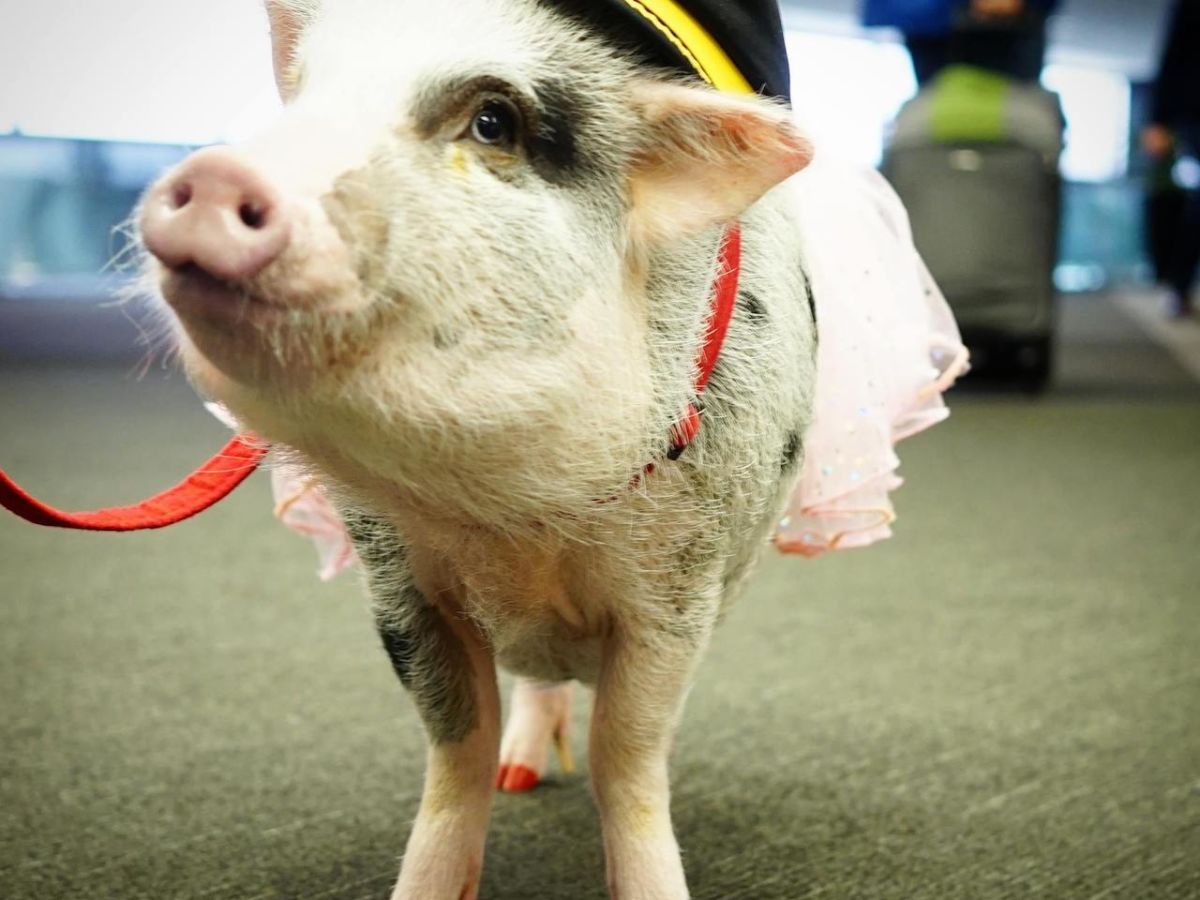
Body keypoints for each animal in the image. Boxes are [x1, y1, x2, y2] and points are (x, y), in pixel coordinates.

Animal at [137, 1, 822, 897]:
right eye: (308, 94)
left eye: (494, 121)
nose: (217, 177)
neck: (517, 516)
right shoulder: (396, 581)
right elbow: (456, 746)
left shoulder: (680, 589)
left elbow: (627, 756)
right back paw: (521, 776)